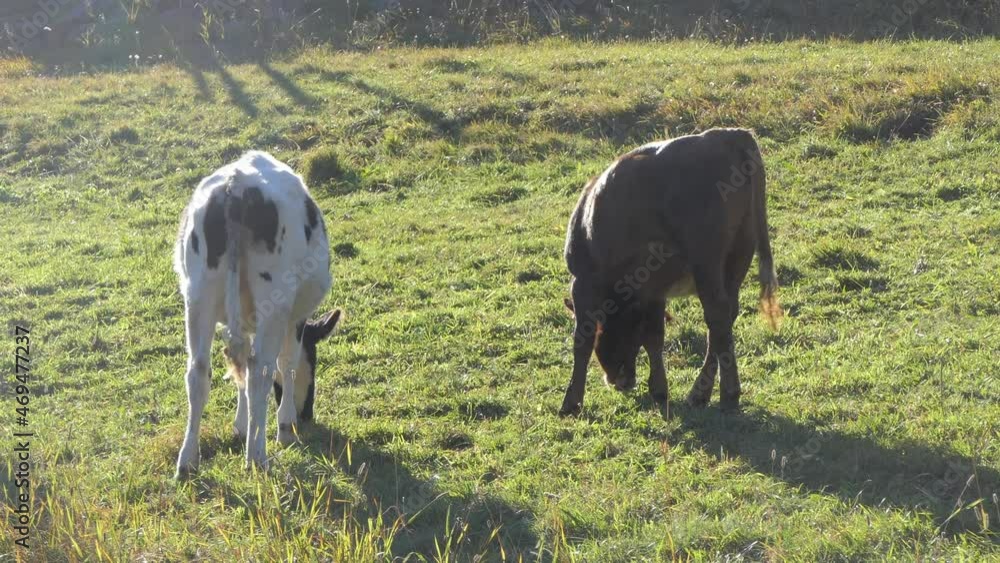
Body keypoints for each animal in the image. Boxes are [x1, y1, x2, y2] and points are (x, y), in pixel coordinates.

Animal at [173, 151, 341, 478]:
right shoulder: (294, 318)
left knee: (199, 372)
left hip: (198, 297)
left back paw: (187, 461)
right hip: (274, 300)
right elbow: (287, 364)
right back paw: (257, 457)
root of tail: (237, 186)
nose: (307, 415)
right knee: (262, 370)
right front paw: (285, 427)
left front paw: (241, 426)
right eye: (315, 364)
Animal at [559, 128, 782, 417]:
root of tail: (726, 134)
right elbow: (653, 336)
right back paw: (704, 393)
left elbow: (582, 339)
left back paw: (724, 393)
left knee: (718, 316)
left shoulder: (583, 284)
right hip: (738, 256)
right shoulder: (653, 292)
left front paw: (571, 402)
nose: (619, 381)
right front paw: (659, 389)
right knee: (724, 321)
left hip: (707, 263)